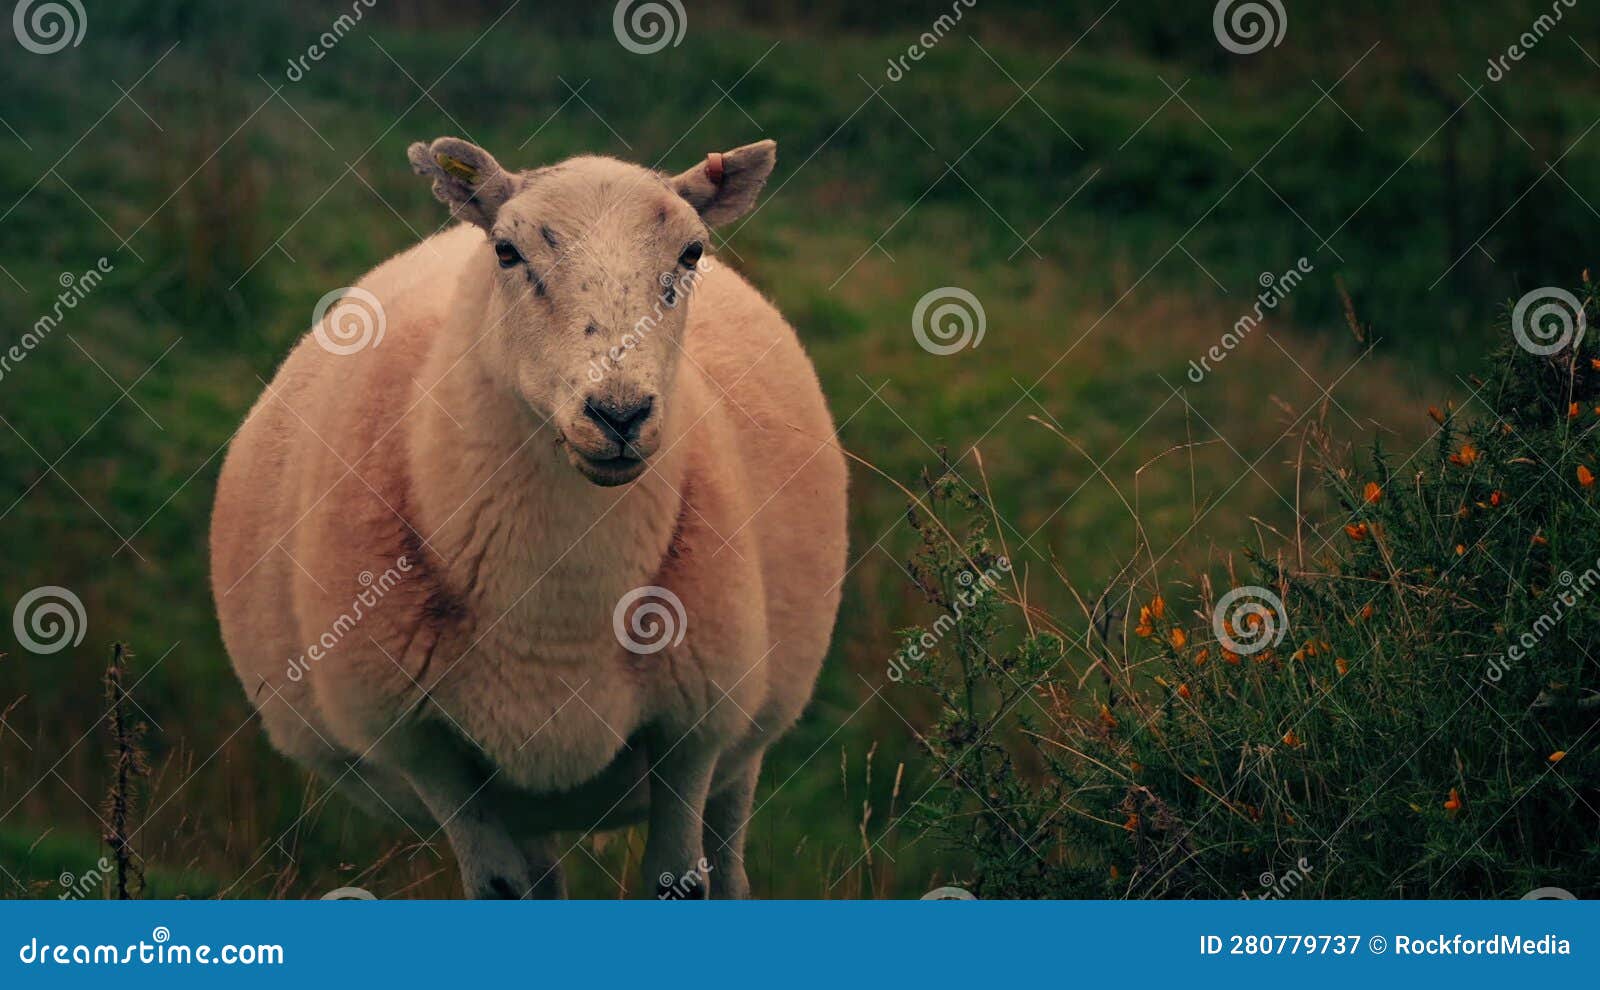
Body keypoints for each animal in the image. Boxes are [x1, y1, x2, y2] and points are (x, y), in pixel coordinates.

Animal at [209, 136, 848, 899]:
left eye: (692, 253)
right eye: (508, 252)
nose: (619, 414)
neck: (556, 621)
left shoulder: (696, 730)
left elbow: (680, 881)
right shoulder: (425, 749)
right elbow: (497, 888)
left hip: (740, 746)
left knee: (726, 867)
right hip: (519, 792)